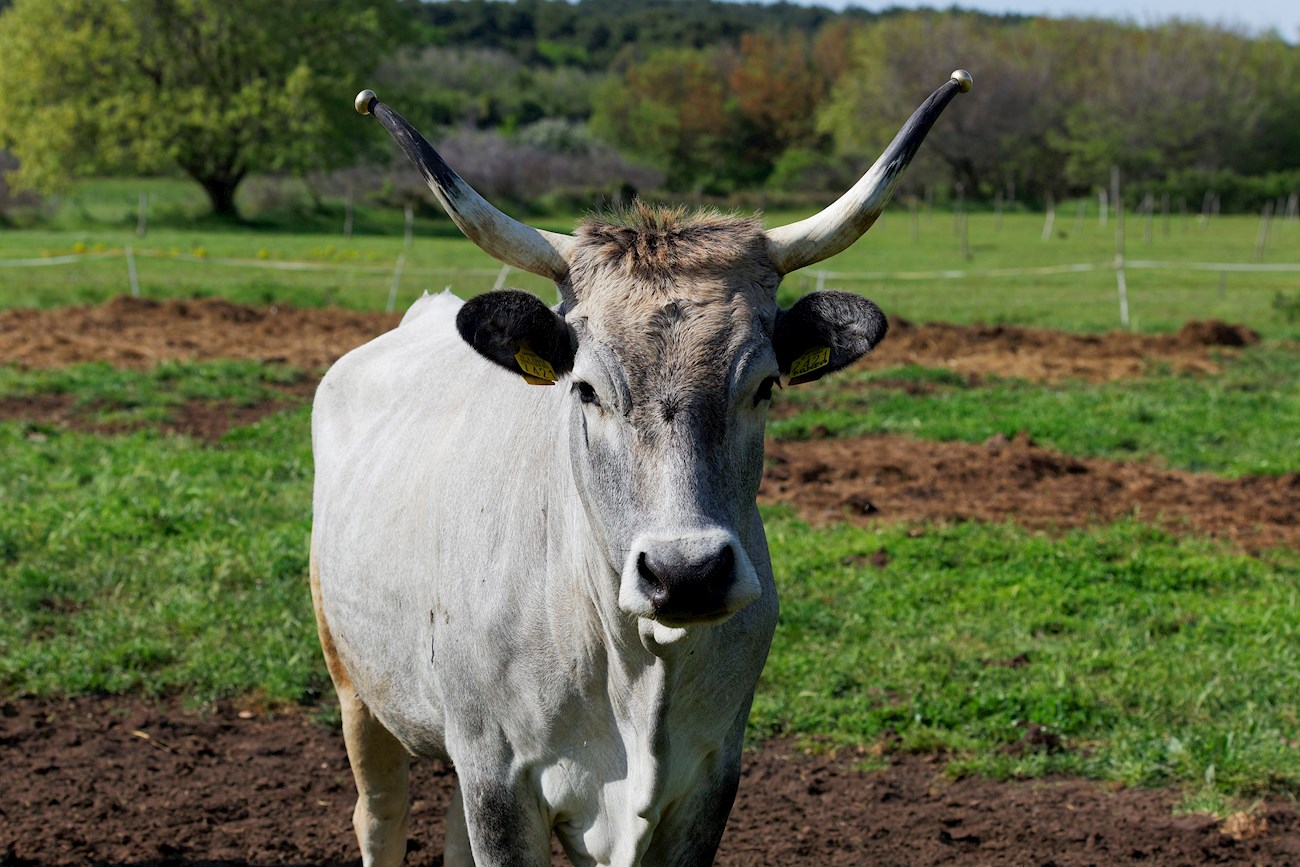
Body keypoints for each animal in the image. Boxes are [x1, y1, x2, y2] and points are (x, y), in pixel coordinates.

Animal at [310, 70, 970, 866]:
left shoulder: (709, 778)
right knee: (379, 815)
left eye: (765, 385)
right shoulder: (499, 779)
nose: (687, 573)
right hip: (355, 683)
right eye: (586, 389)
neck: (640, 667)